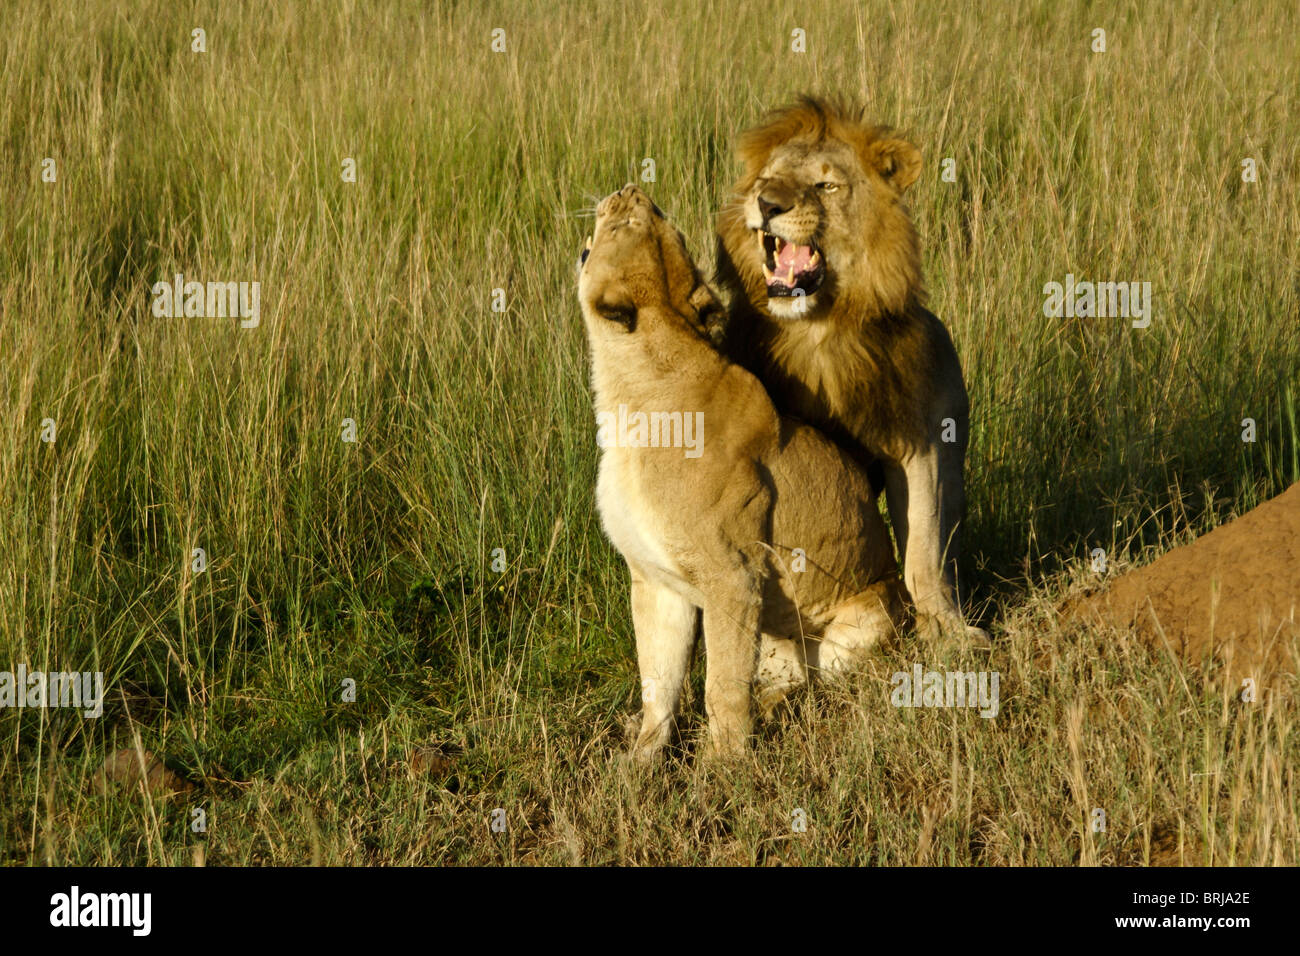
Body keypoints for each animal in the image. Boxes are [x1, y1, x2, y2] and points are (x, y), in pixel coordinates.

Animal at [577, 184, 907, 761]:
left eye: (629, 224)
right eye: (659, 222)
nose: (631, 190)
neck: (625, 397)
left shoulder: (733, 575)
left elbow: (722, 685)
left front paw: (724, 768)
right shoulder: (655, 580)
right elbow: (658, 681)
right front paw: (640, 763)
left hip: (871, 618)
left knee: (822, 683)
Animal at [715, 95, 984, 643]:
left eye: (826, 186)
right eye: (765, 179)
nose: (768, 205)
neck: (818, 330)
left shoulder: (919, 442)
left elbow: (923, 548)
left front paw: (947, 632)